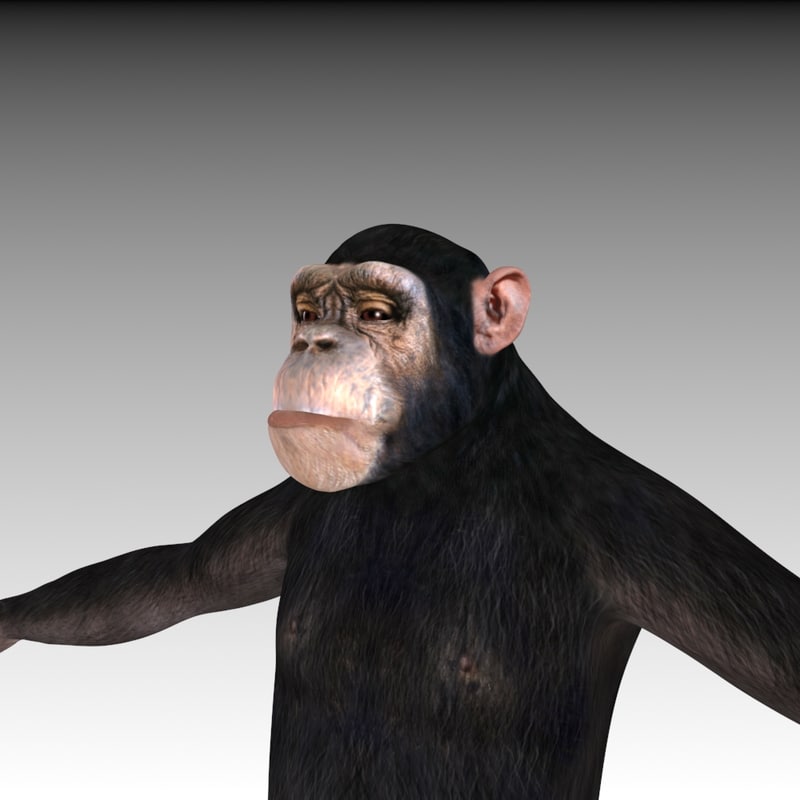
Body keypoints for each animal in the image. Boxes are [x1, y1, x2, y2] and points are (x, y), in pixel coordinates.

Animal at [2, 224, 798, 798]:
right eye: (305, 311)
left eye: (376, 314)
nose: (313, 341)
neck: (441, 468)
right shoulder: (288, 509)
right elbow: (184, 575)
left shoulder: (631, 517)